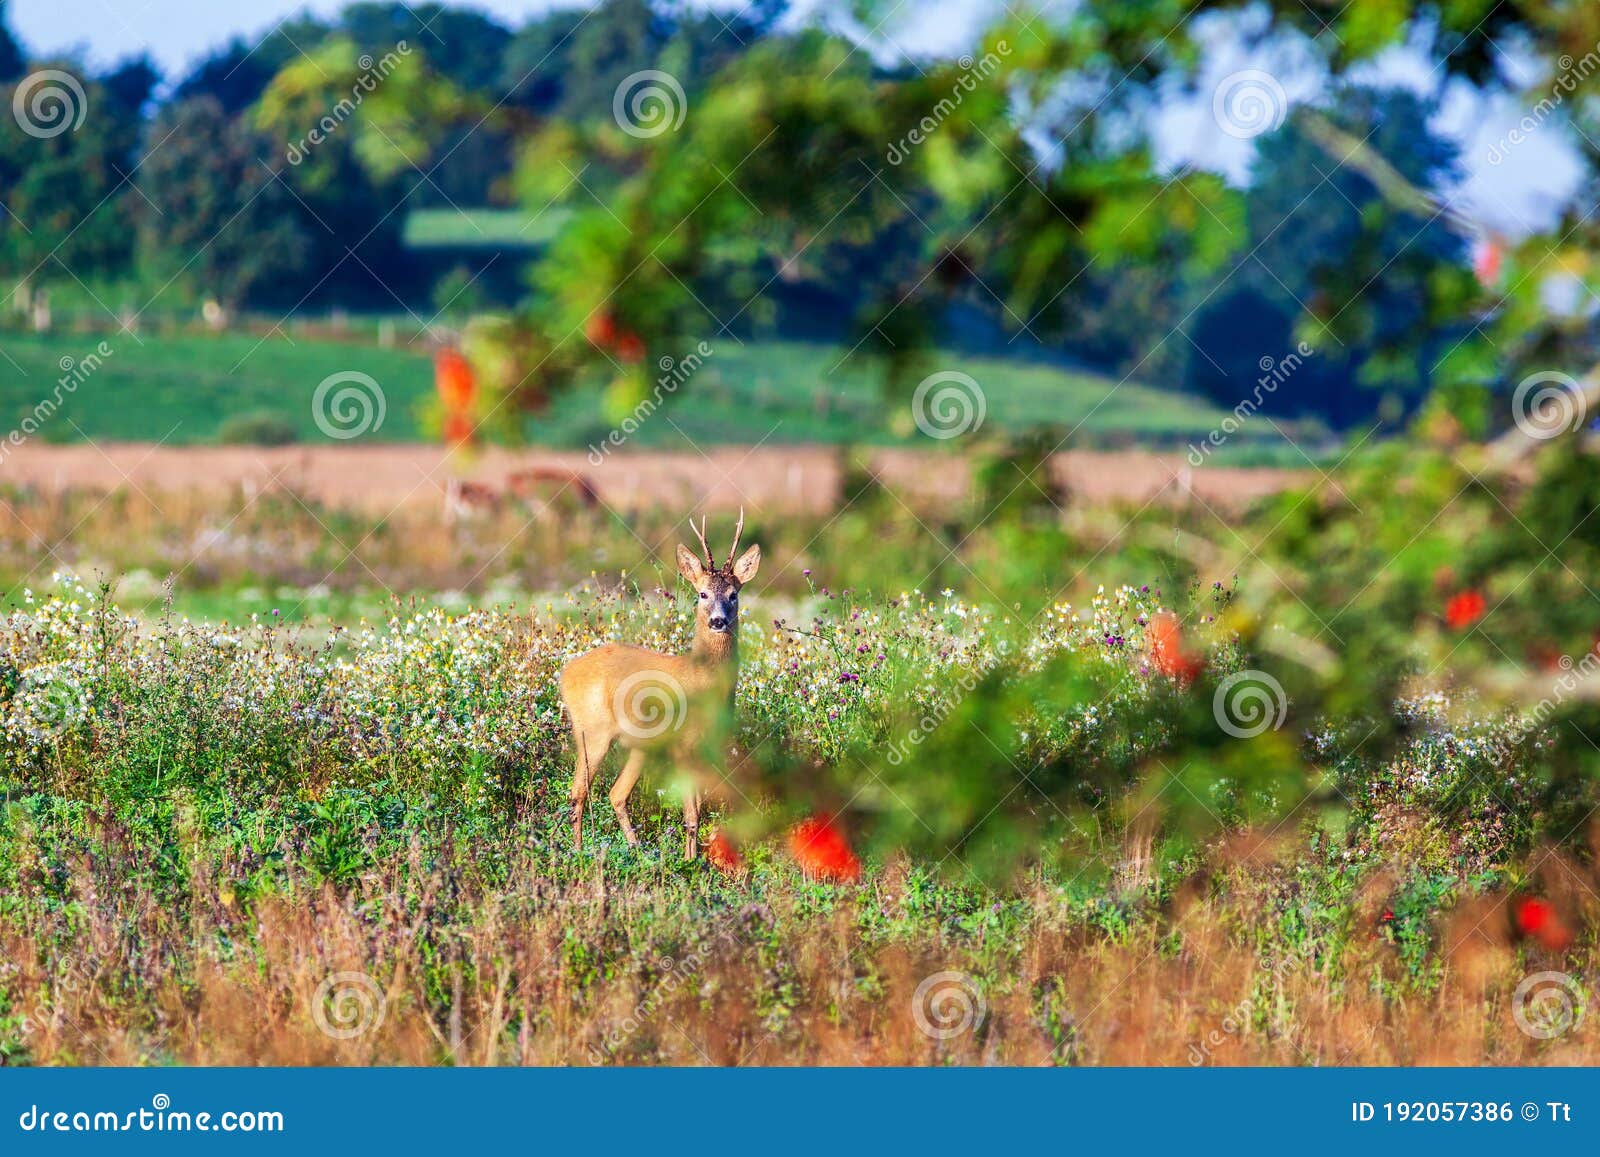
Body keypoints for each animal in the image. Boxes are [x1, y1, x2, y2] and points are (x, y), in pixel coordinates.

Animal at [559, 511, 760, 860]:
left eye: (734, 595)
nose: (718, 621)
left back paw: (636, 851)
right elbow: (691, 812)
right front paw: (690, 862)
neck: (700, 680)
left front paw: (695, 860)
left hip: (637, 745)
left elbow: (698, 808)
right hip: (593, 730)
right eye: (702, 594)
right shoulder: (682, 743)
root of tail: (565, 673)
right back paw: (580, 854)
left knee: (616, 793)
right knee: (578, 792)